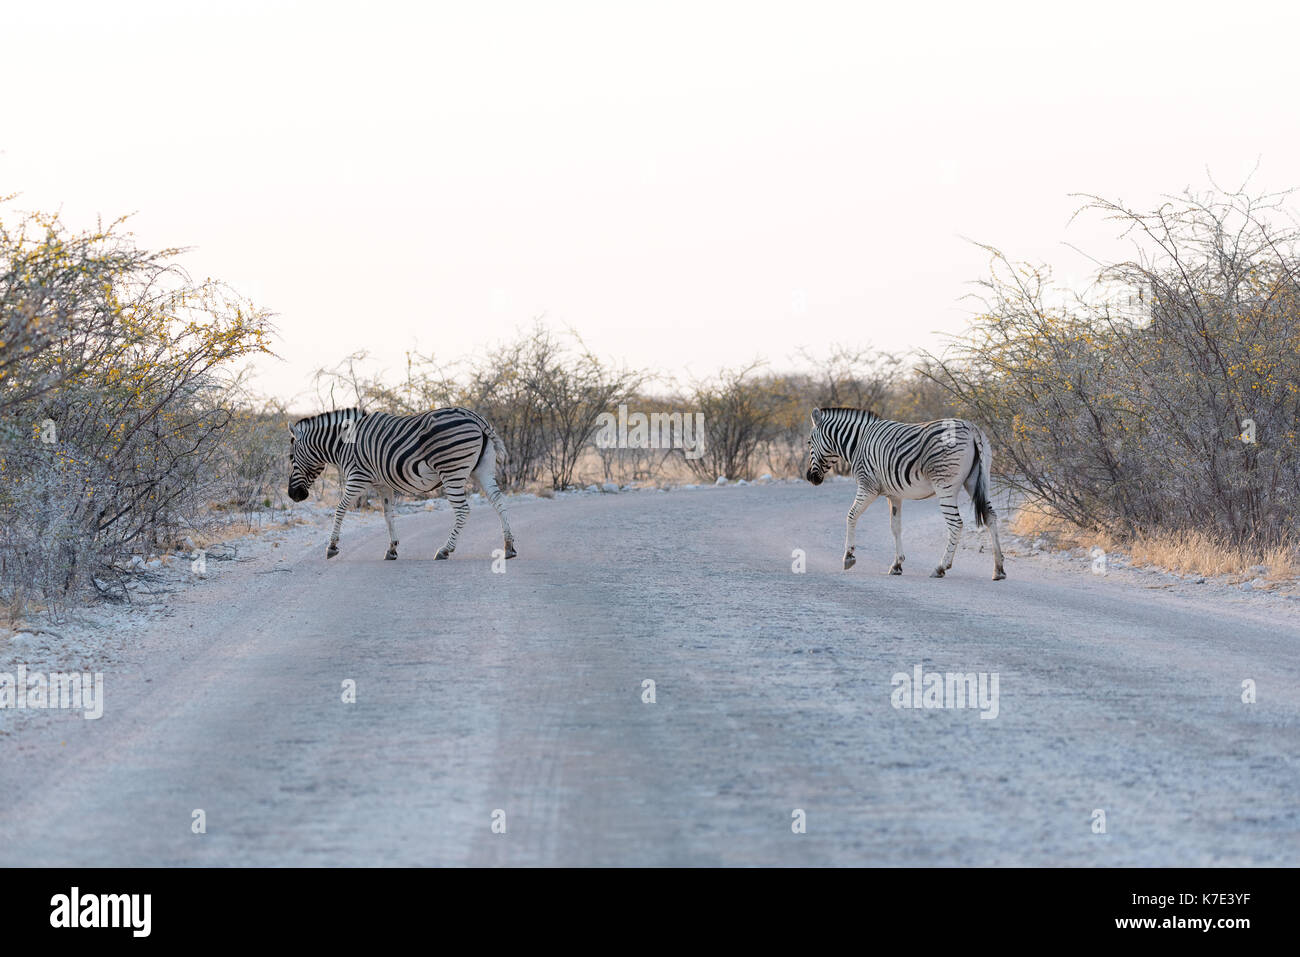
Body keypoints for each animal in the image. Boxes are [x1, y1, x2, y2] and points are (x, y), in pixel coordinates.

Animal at [287, 406, 517, 562]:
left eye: (290, 458)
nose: (293, 495)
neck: (344, 443)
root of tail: (476, 418)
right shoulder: (382, 484)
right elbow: (388, 515)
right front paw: (392, 549)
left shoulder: (358, 477)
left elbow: (340, 509)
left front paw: (332, 547)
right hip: (482, 470)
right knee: (498, 502)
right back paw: (509, 547)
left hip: (451, 470)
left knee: (463, 510)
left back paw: (445, 550)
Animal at [805, 407, 1005, 580]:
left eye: (809, 442)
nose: (810, 477)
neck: (858, 442)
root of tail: (972, 428)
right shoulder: (894, 495)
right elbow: (895, 527)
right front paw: (897, 565)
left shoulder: (868, 486)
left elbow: (851, 515)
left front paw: (848, 557)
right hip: (978, 480)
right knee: (990, 516)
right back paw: (999, 569)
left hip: (945, 486)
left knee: (956, 524)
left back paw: (941, 567)